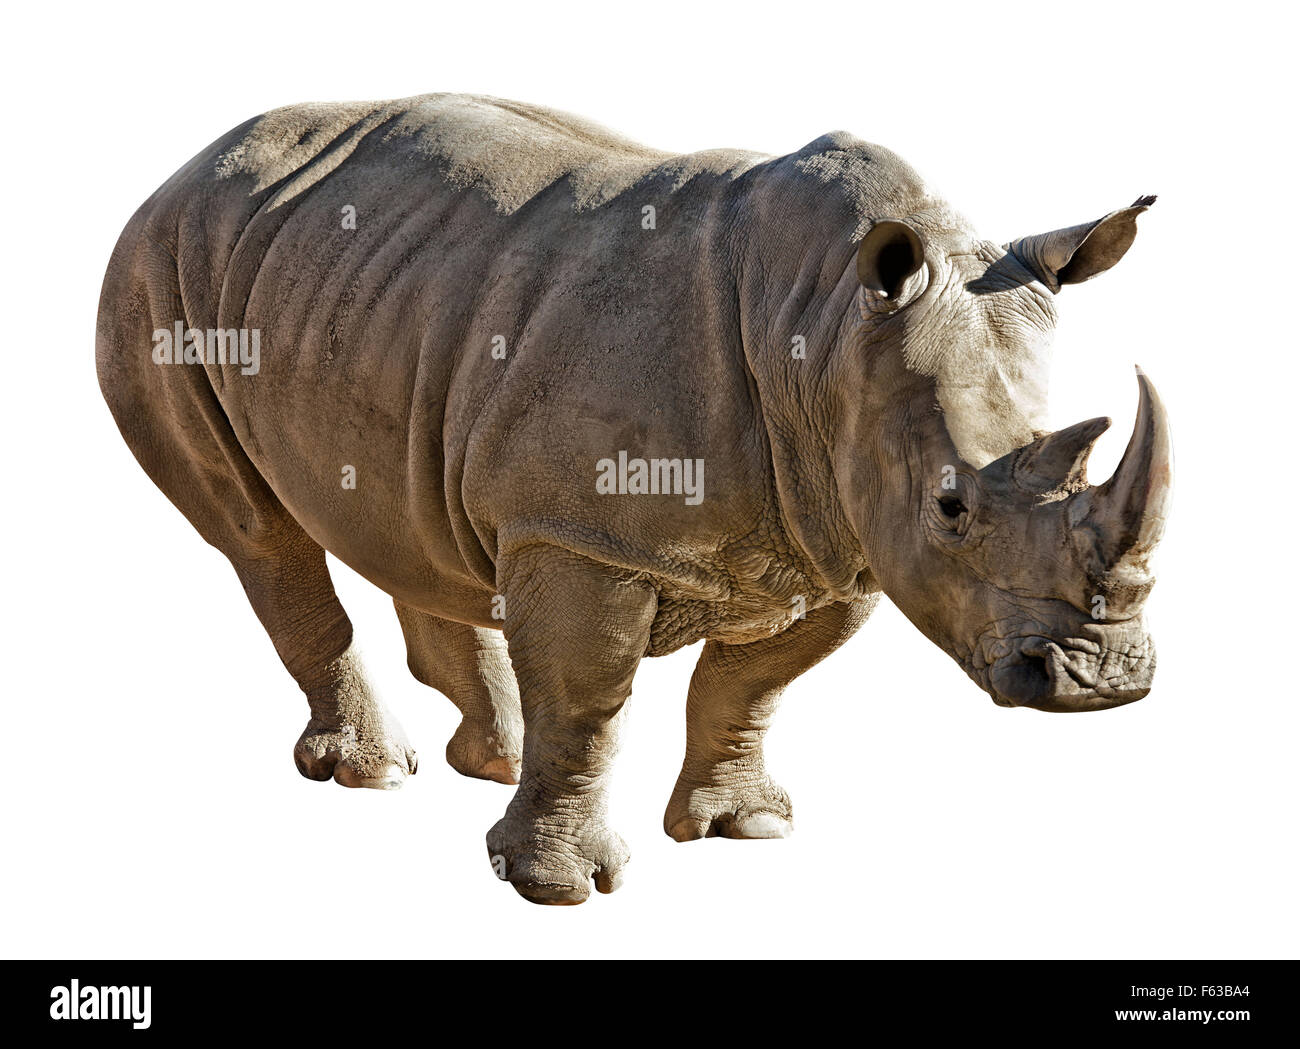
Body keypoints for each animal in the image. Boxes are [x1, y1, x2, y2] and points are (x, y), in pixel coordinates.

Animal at [97, 93, 1171, 904]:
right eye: (952, 509)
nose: (1101, 680)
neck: (825, 336)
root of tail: (191, 163)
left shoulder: (845, 541)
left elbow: (752, 686)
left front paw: (748, 826)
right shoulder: (586, 531)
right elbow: (588, 699)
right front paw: (557, 887)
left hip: (370, 290)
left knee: (422, 513)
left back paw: (492, 760)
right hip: (160, 274)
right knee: (259, 533)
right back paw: (375, 770)